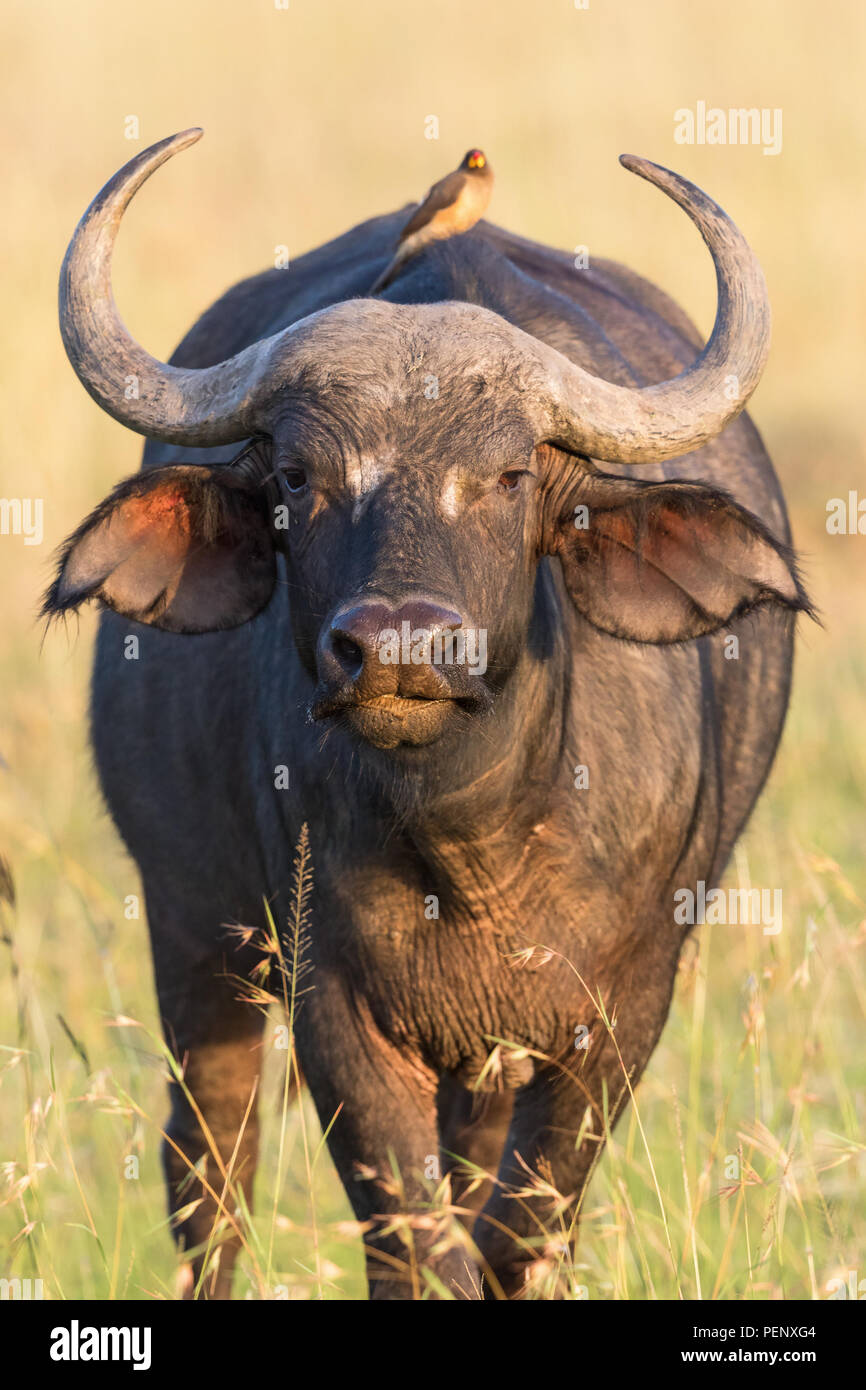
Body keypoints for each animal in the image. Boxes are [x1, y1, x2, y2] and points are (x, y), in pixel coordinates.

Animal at [46, 130, 809, 1299]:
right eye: (297, 476)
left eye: (509, 475)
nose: (400, 647)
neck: (469, 845)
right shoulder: (327, 1000)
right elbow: (415, 1241)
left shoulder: (622, 1007)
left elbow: (518, 1230)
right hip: (191, 939)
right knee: (209, 1171)